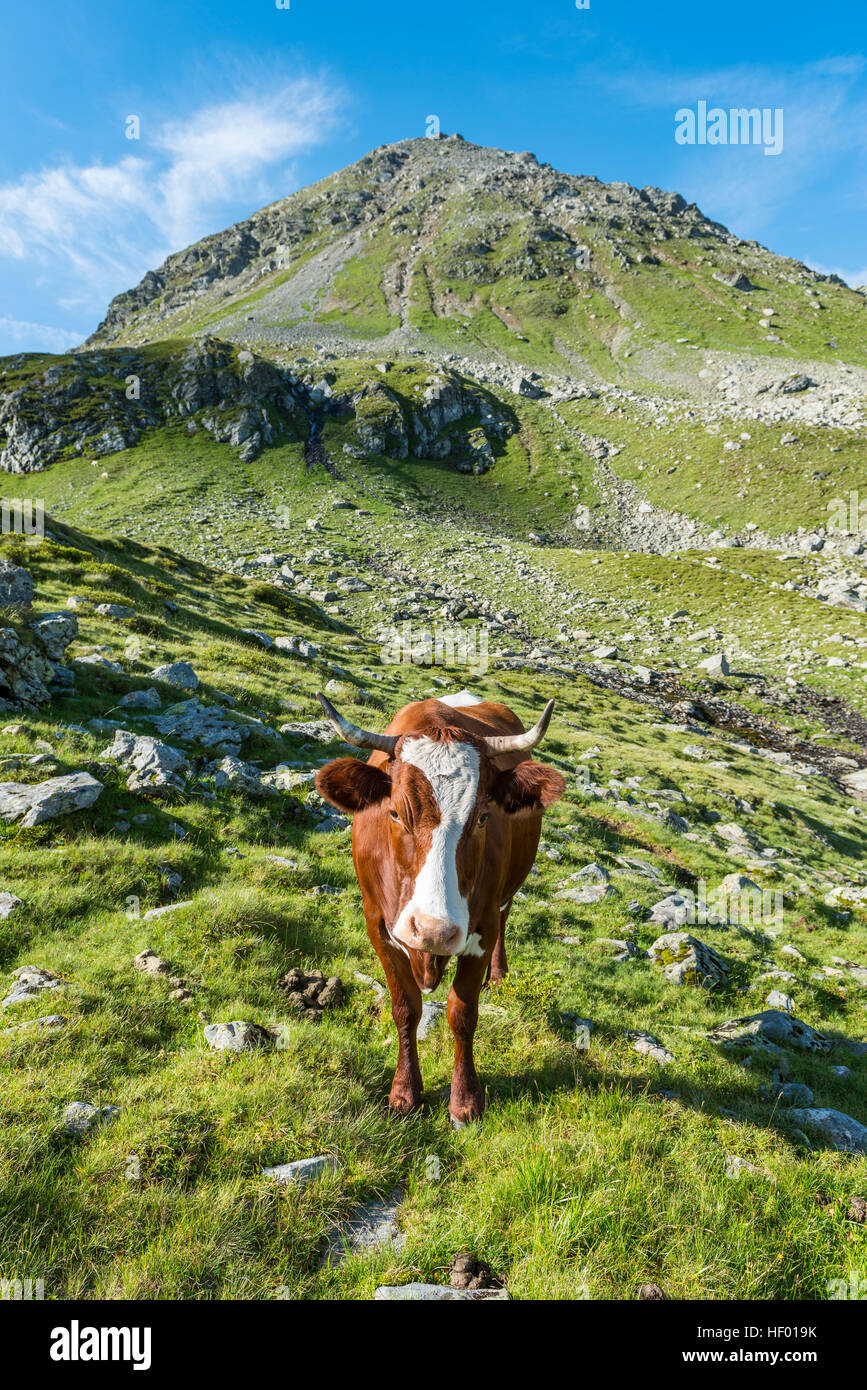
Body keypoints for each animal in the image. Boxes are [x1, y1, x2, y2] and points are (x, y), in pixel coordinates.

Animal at [313, 689, 566, 1126]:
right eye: (395, 813)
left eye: (482, 818)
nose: (434, 931)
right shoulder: (378, 924)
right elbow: (405, 1008)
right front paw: (404, 1093)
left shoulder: (480, 930)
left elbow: (462, 1014)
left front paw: (465, 1101)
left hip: (506, 895)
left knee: (506, 916)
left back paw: (499, 975)